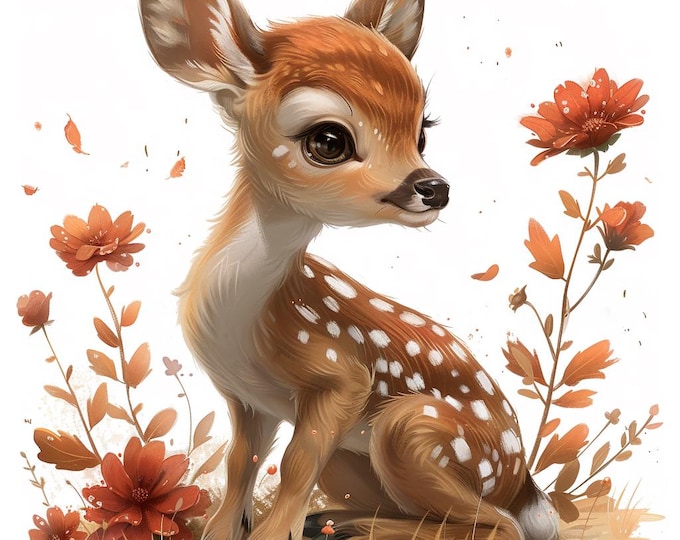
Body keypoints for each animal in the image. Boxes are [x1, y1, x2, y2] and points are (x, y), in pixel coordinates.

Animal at [138, 1, 561, 539]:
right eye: (328, 140)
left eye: (422, 130)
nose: (434, 187)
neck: (243, 321)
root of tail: (524, 484)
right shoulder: (246, 398)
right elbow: (240, 464)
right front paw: (220, 530)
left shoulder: (344, 375)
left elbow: (296, 464)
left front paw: (274, 533)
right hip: (354, 459)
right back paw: (336, 519)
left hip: (415, 430)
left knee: (499, 526)